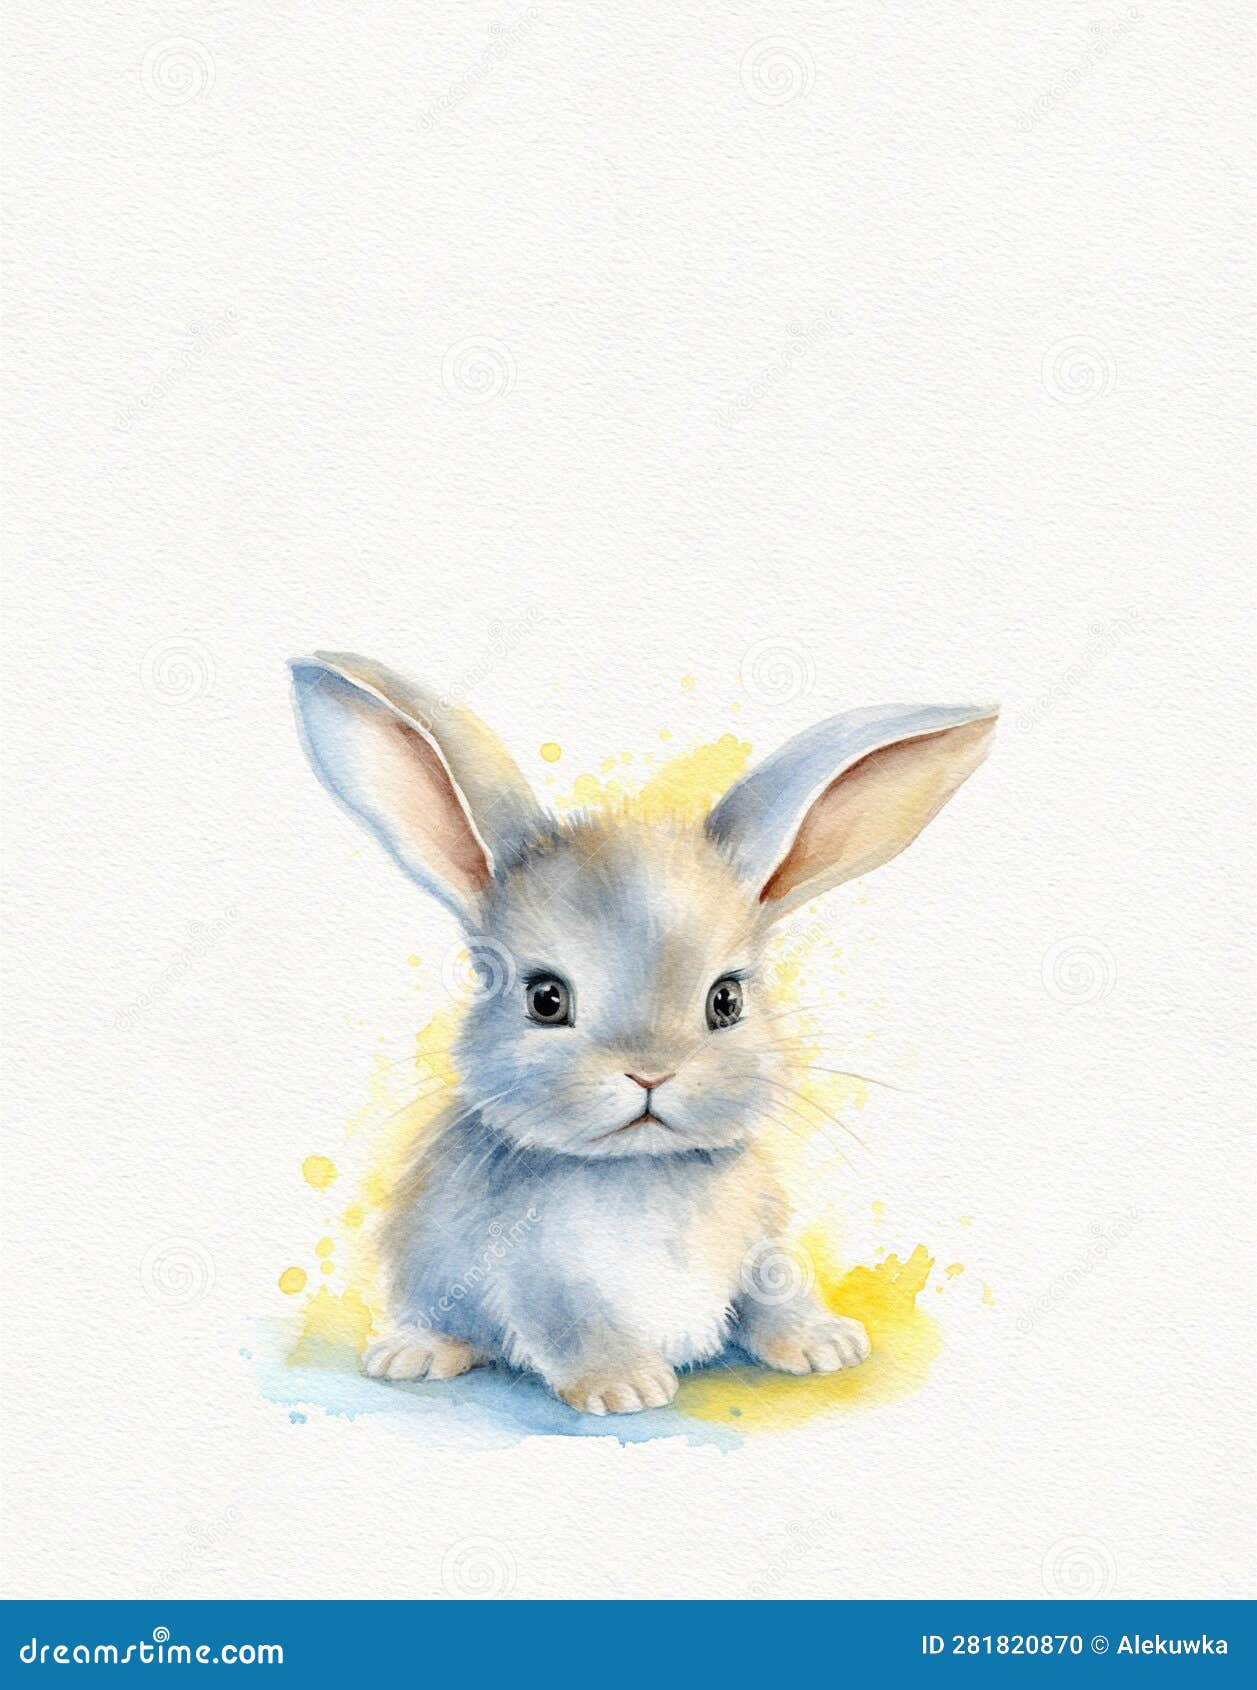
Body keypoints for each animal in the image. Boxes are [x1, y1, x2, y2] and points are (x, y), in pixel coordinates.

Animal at [290, 652, 997, 1415]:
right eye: (545, 999)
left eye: (726, 1000)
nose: (650, 1072)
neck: (642, 1167)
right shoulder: (534, 1277)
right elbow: (570, 1326)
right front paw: (624, 1387)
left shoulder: (762, 1242)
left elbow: (778, 1293)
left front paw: (825, 1347)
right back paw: (413, 1354)